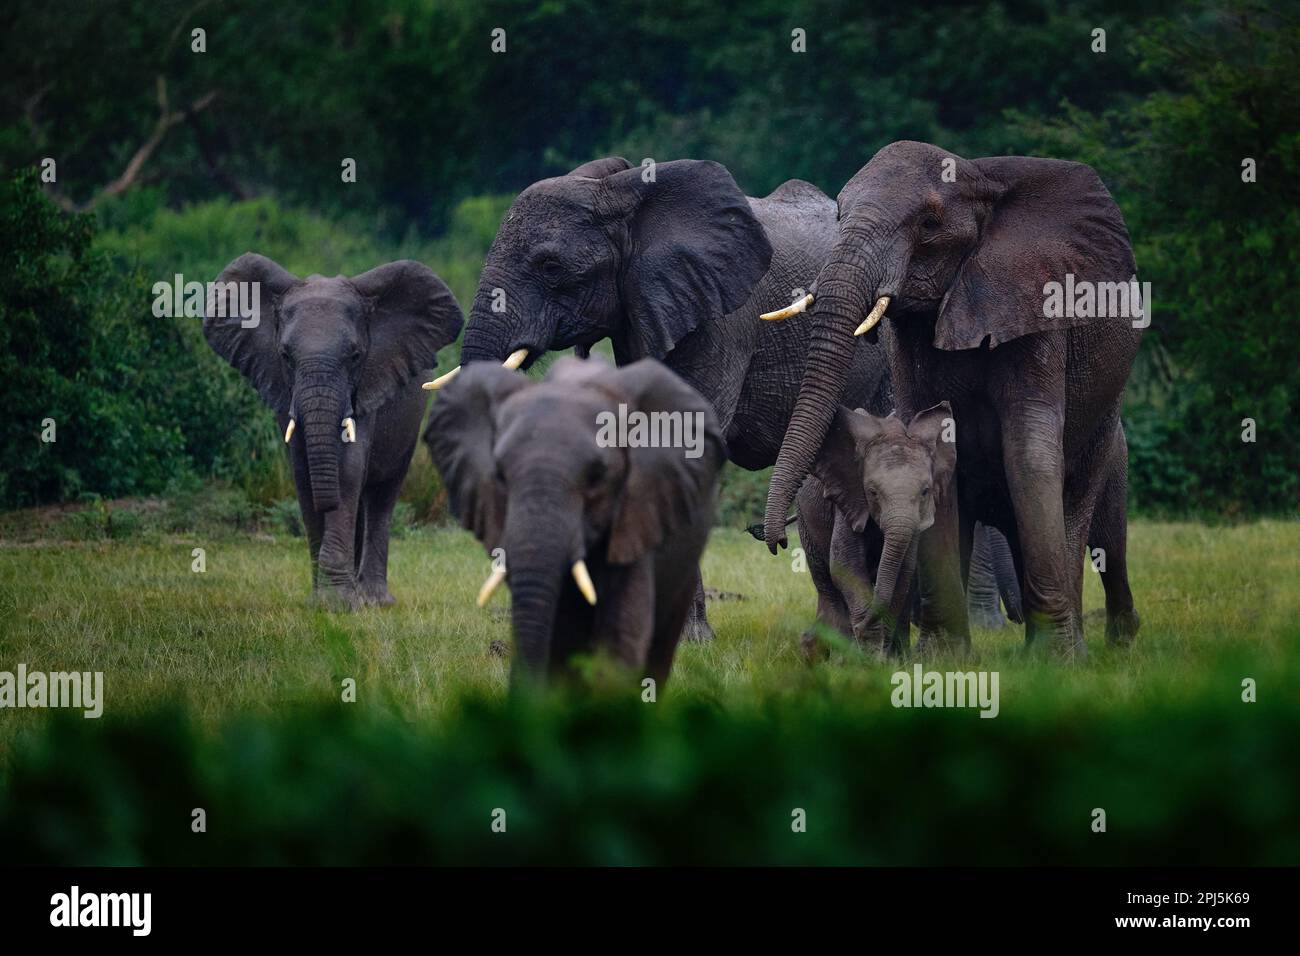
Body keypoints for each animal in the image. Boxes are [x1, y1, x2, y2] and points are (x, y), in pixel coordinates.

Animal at [204, 253, 463, 609]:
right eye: (285, 356)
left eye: (355, 356)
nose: (327, 504)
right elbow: (303, 473)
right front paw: (321, 602)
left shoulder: (369, 381)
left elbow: (349, 469)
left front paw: (341, 603)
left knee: (382, 495)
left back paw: (375, 600)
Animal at [764, 141, 1142, 658]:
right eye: (839, 214)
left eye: (929, 223)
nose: (776, 542)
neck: (980, 179)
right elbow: (935, 431)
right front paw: (941, 659)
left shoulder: (1037, 303)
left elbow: (1029, 449)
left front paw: (1054, 661)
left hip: (1107, 421)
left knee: (1087, 512)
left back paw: (1088, 648)